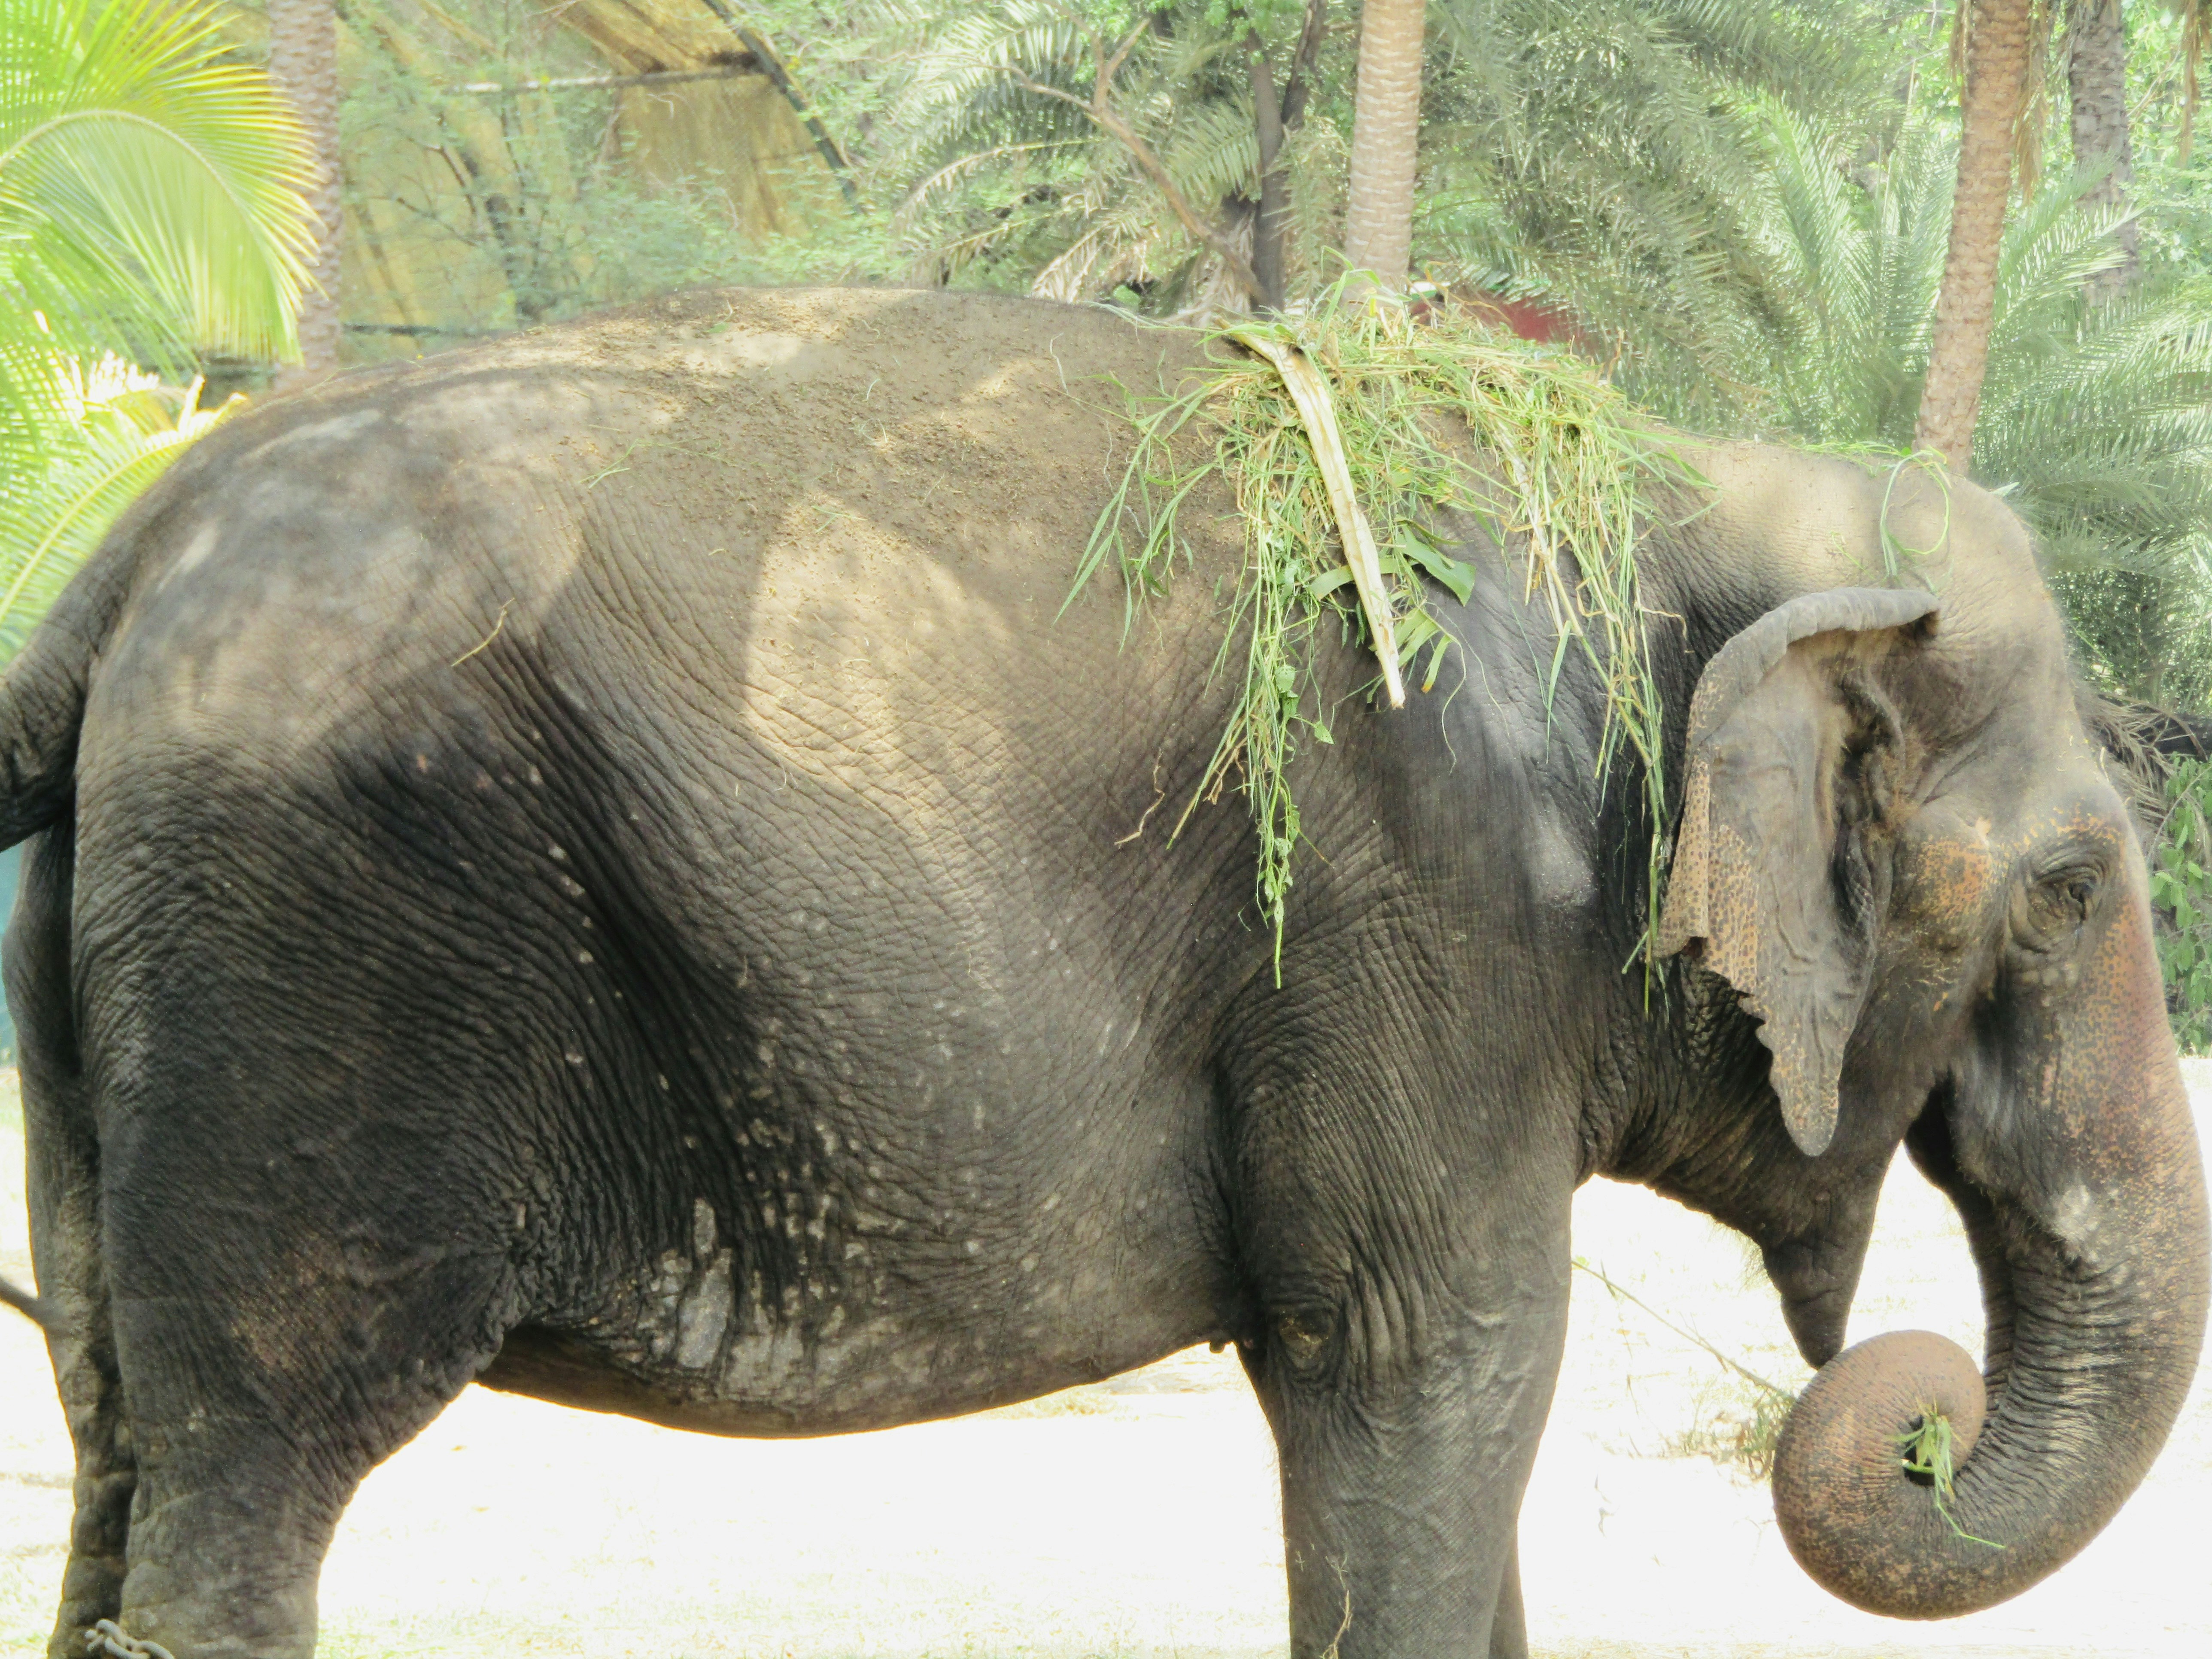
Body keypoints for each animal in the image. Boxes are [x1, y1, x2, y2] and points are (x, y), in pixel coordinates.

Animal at [0, 286, 2204, 1659]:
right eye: (2069, 891)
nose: (1907, 1418)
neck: (1684, 478)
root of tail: (130, 552)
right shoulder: (1428, 918)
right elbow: (1431, 1368)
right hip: (312, 961)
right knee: (255, 1467)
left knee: (115, 1441)